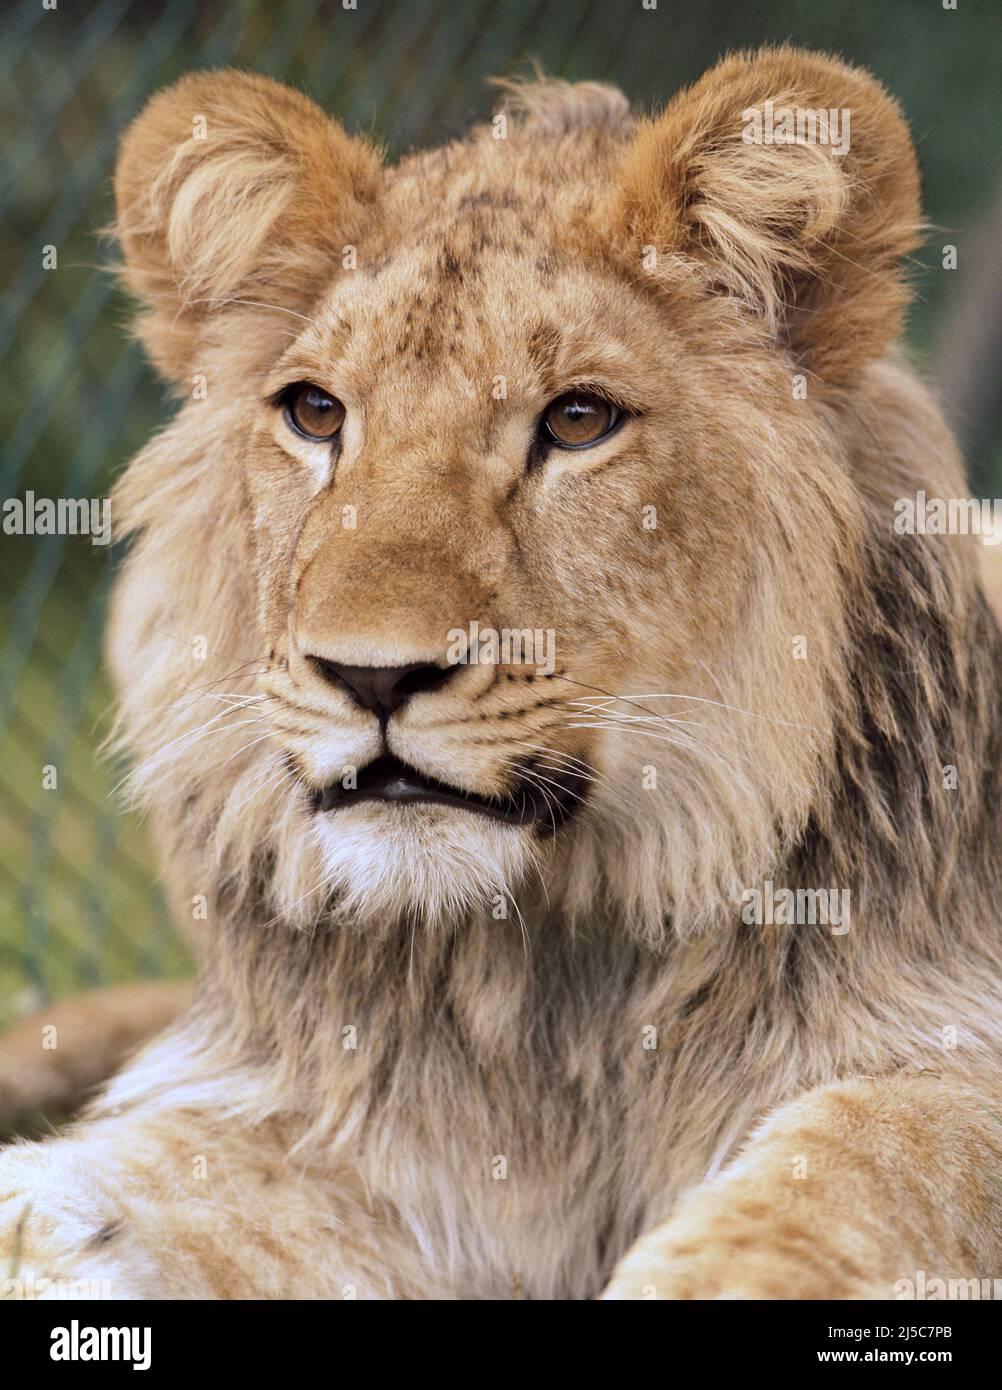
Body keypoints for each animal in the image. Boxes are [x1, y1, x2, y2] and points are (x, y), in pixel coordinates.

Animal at [2, 47, 1002, 1301]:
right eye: (315, 413)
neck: (549, 973)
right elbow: (82, 1201)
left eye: (577, 420)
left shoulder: (945, 1059)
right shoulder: (361, 1140)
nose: (372, 679)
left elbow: (838, 1177)